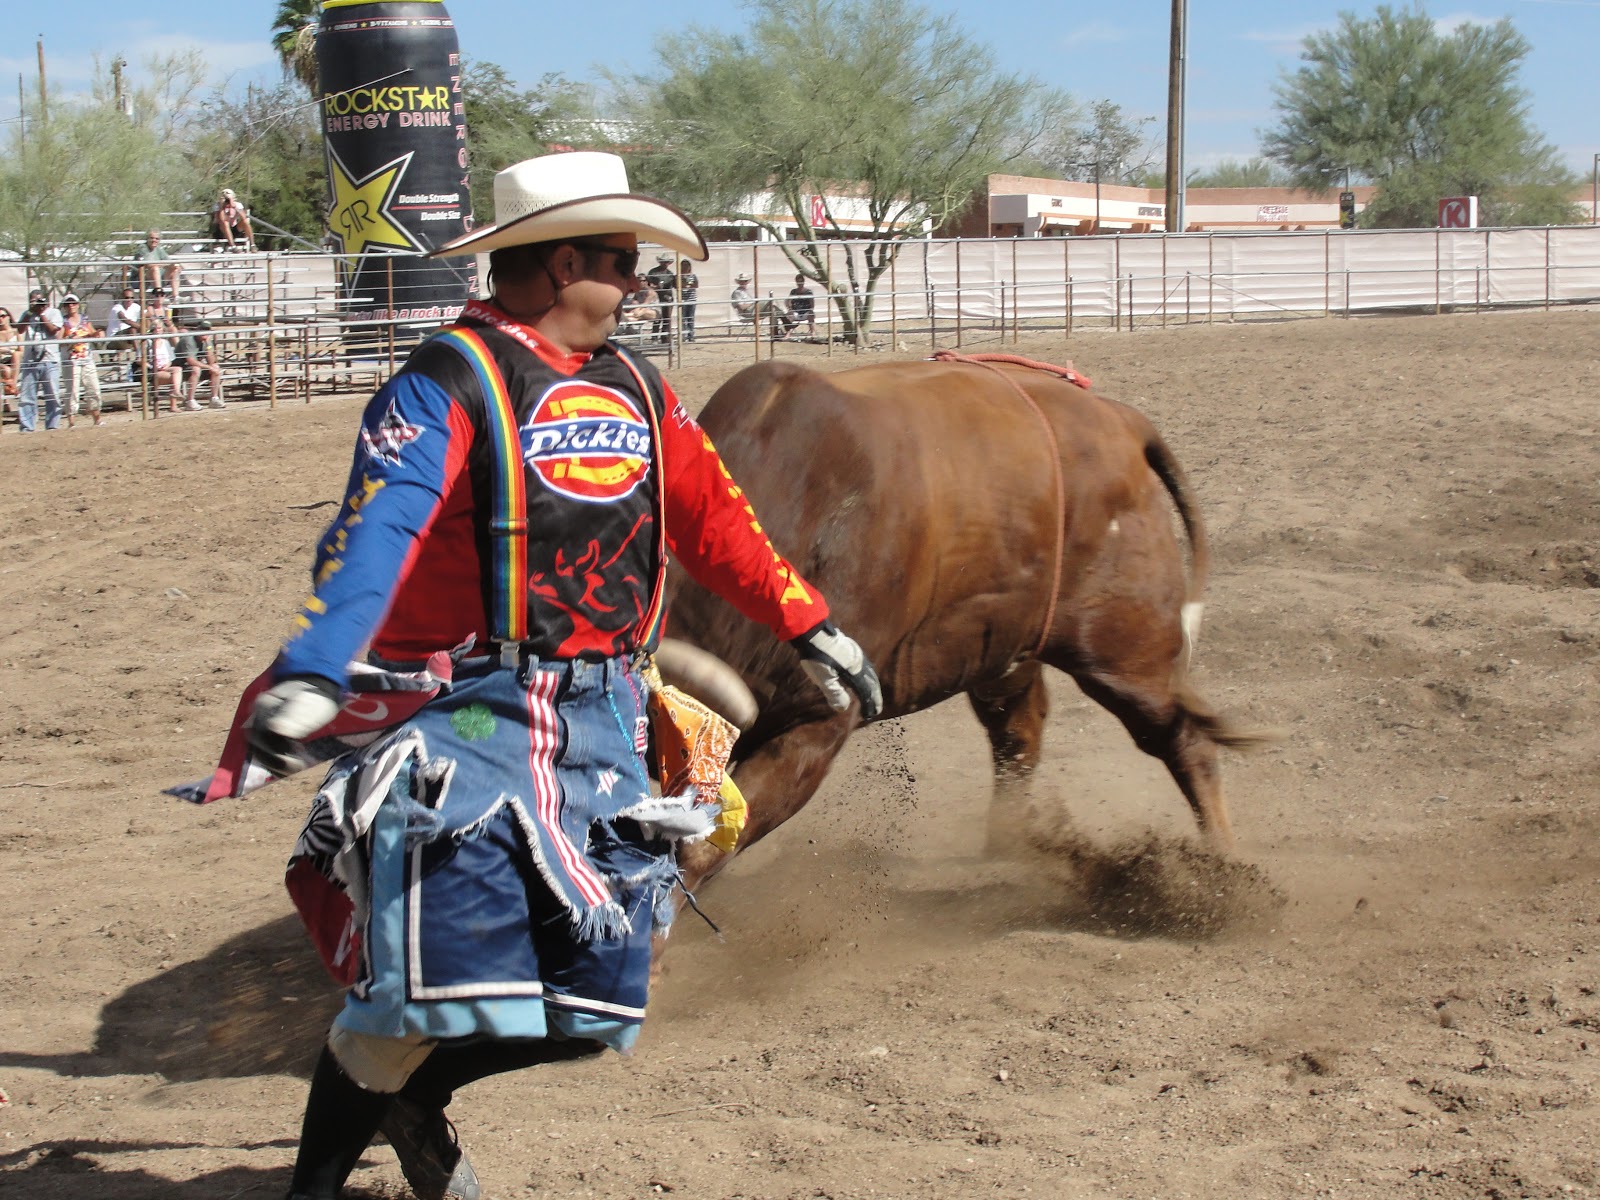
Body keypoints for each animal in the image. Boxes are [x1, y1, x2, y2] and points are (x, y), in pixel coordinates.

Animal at [663, 354, 1264, 895]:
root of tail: (1121, 419)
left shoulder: (816, 724)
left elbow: (701, 849)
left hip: (1126, 650)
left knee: (1182, 738)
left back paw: (1222, 871)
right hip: (1007, 646)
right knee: (1019, 731)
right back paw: (1011, 841)